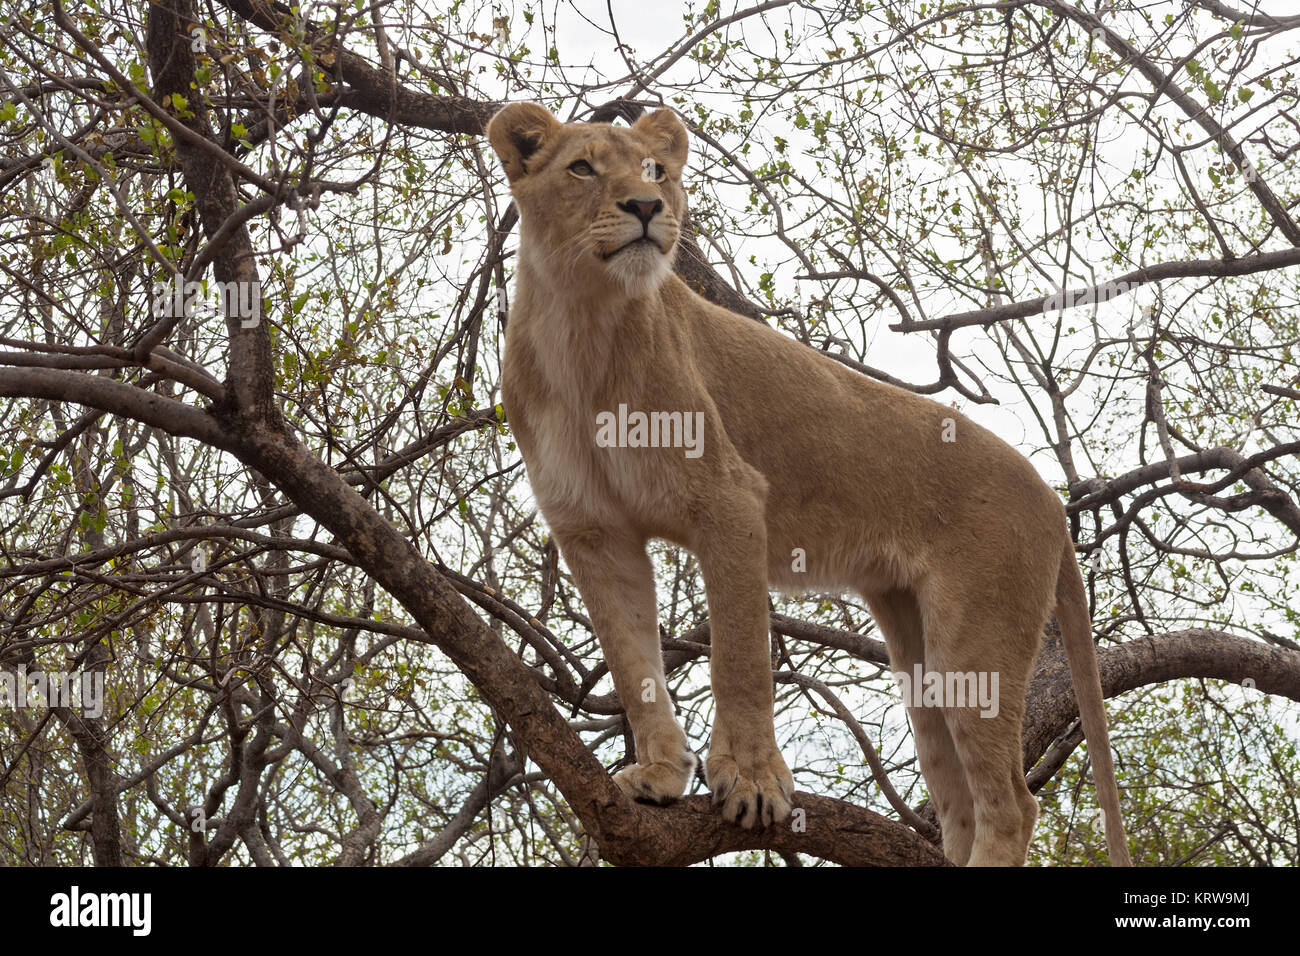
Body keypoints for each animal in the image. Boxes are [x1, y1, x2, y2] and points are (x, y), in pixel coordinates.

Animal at [486, 102, 1131, 866]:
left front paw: (752, 783)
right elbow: (631, 660)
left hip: (976, 640)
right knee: (962, 800)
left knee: (1012, 804)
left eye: (657, 170)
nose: (647, 207)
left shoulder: (730, 498)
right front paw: (660, 775)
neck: (582, 324)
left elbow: (740, 657)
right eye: (582, 168)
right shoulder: (593, 530)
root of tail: (1050, 496)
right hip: (915, 647)